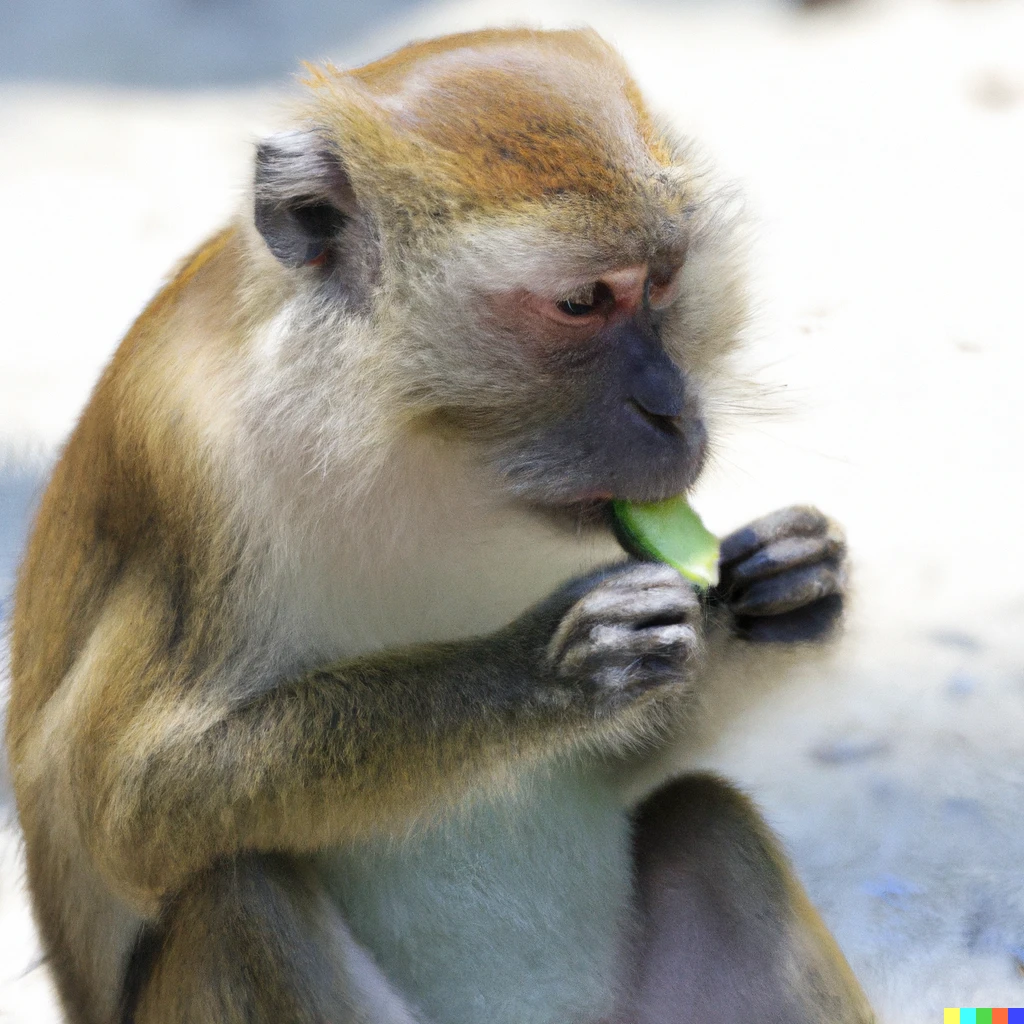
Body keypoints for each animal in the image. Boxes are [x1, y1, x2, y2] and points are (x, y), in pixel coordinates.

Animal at [5, 26, 872, 1024]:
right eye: (584, 301)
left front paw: (780, 584)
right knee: (237, 894)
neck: (420, 445)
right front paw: (541, 672)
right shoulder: (192, 475)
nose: (670, 405)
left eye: (660, 282)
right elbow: (123, 810)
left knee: (710, 824)